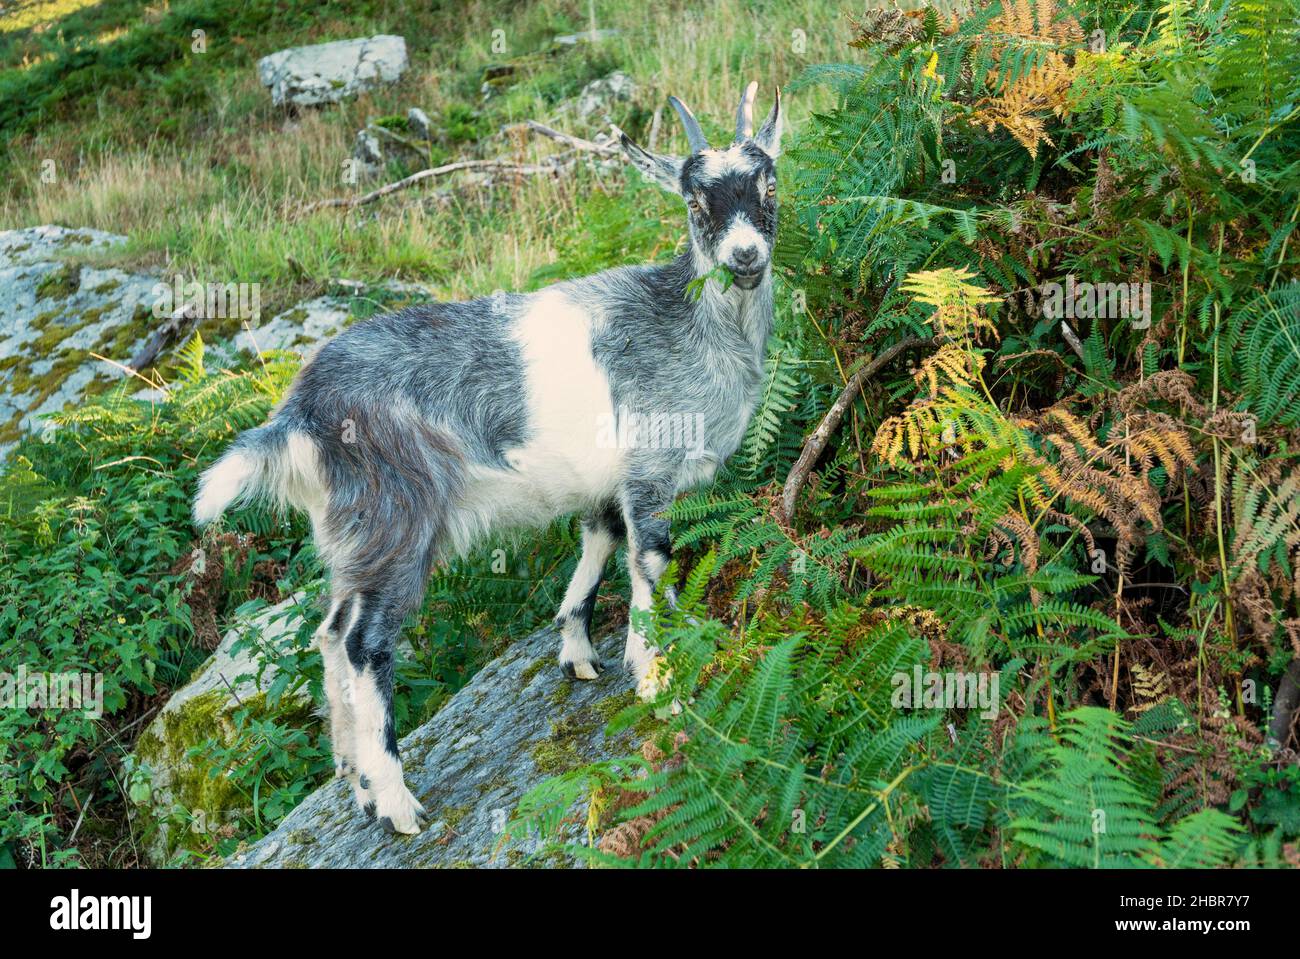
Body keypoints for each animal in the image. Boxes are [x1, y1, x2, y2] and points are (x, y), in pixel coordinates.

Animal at [193, 82, 784, 835]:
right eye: (694, 202)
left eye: (768, 185)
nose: (745, 257)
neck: (692, 327)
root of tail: (297, 412)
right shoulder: (649, 472)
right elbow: (650, 566)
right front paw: (660, 681)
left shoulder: (606, 484)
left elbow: (596, 546)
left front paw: (577, 654)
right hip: (400, 520)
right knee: (362, 644)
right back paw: (397, 802)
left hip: (354, 533)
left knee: (327, 634)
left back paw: (354, 781)